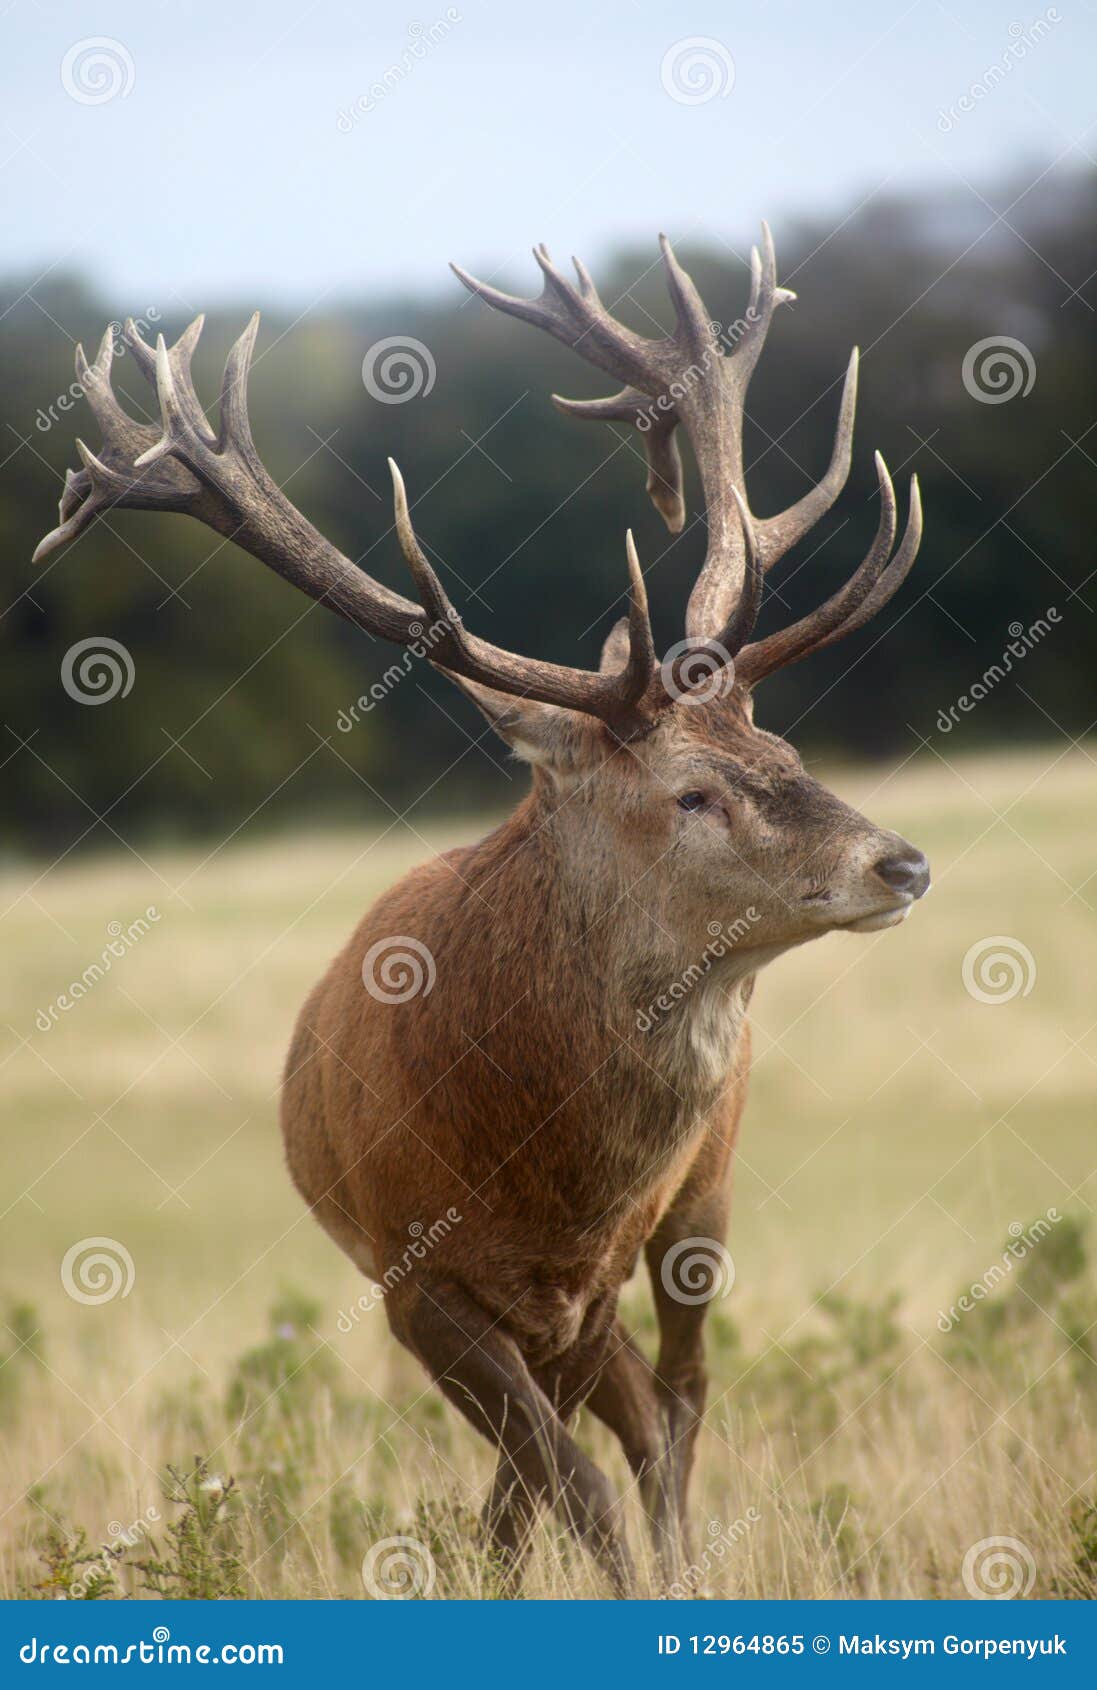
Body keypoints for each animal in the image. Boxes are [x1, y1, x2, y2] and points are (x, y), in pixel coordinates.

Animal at [35, 224, 930, 1596]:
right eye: (690, 792)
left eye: (776, 743)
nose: (898, 862)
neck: (535, 1169)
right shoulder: (414, 1275)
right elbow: (547, 1484)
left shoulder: (591, 1277)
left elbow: (576, 1463)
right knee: (618, 1425)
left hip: (704, 1198)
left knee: (678, 1397)